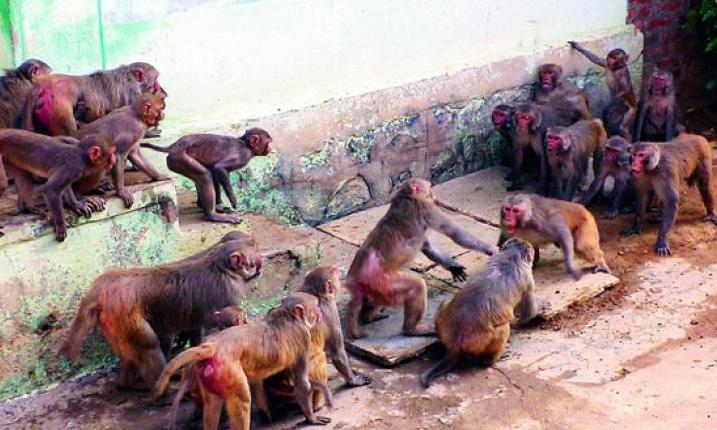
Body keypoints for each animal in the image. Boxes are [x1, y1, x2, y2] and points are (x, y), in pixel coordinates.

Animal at [58, 238, 263, 390]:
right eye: (255, 253)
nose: (262, 258)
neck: (222, 268)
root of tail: (107, 287)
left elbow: (197, 328)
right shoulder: (229, 292)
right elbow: (221, 324)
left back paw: (127, 383)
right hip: (124, 316)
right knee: (148, 345)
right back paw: (162, 390)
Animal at [141, 128, 272, 224]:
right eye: (268, 142)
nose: (270, 149)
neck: (245, 144)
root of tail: (174, 146)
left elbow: (216, 171)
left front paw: (220, 204)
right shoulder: (244, 155)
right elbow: (219, 169)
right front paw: (233, 201)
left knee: (204, 175)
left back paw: (203, 205)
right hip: (178, 158)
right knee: (205, 175)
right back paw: (211, 215)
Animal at [154, 292, 331, 430]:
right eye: (315, 306)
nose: (319, 312)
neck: (287, 315)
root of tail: (212, 346)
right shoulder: (304, 338)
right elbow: (302, 382)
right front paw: (311, 418)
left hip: (209, 374)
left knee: (212, 404)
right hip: (229, 370)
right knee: (242, 401)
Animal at [345, 178, 497, 339]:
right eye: (429, 188)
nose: (434, 197)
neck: (406, 197)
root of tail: (355, 279)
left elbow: (427, 247)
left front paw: (453, 267)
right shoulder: (426, 208)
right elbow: (455, 233)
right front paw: (491, 249)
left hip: (375, 288)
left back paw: (369, 316)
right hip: (381, 281)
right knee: (416, 286)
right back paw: (412, 329)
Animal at [420, 238, 538, 387]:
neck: (510, 256)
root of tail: (454, 346)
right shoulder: (528, 278)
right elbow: (529, 313)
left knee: (445, 303)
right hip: (480, 343)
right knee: (502, 329)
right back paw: (491, 360)